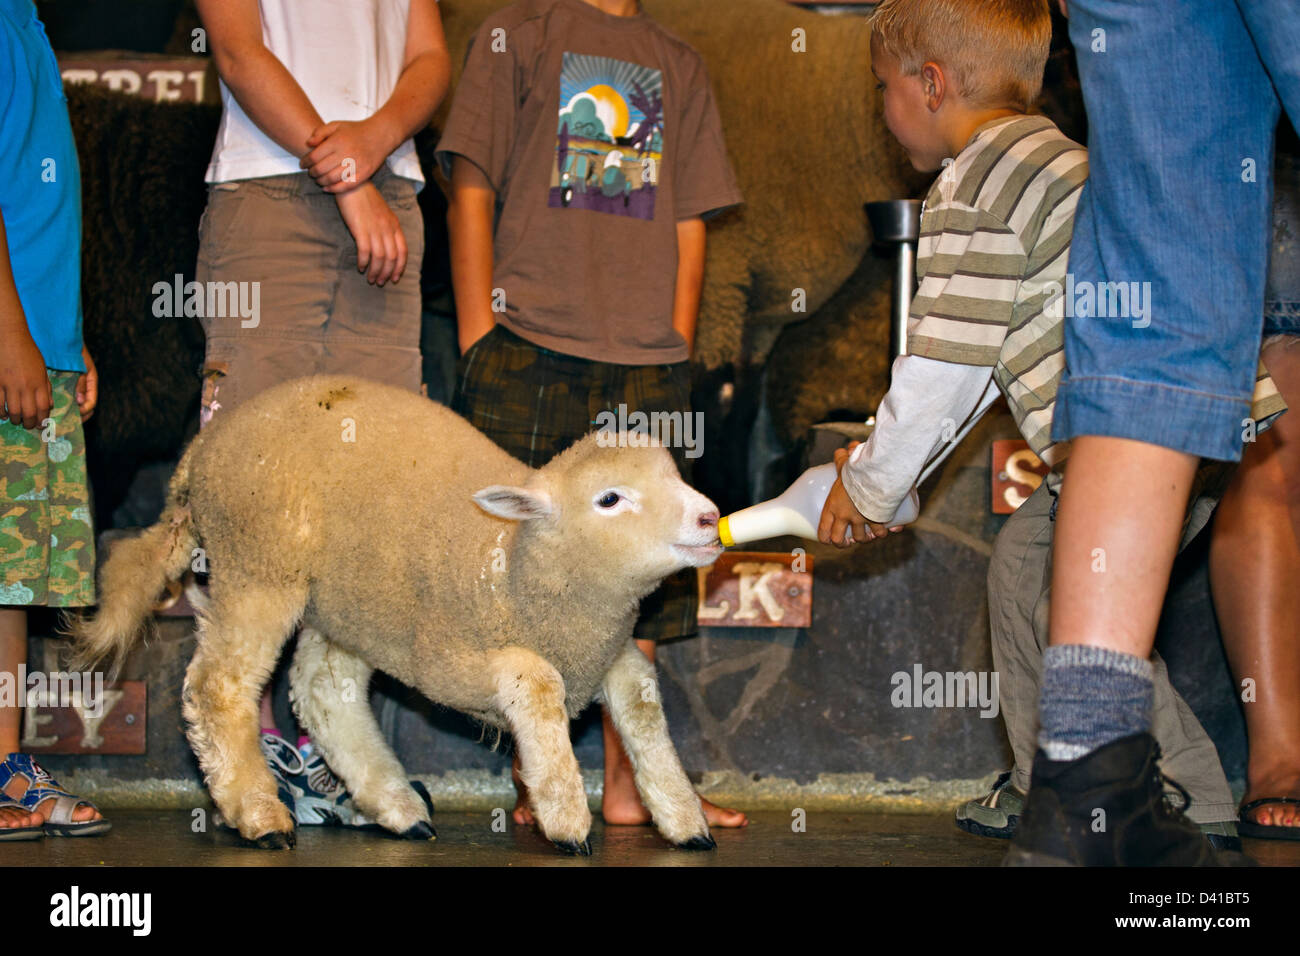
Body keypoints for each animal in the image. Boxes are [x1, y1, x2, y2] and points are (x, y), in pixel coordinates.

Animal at [72, 375, 725, 854]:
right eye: (610, 499)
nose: (709, 518)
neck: (513, 563)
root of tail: (198, 452)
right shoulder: (447, 663)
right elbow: (538, 681)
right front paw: (565, 815)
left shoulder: (609, 652)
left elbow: (641, 700)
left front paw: (681, 817)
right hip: (259, 567)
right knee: (219, 686)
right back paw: (259, 814)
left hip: (351, 604)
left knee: (322, 690)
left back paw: (395, 807)